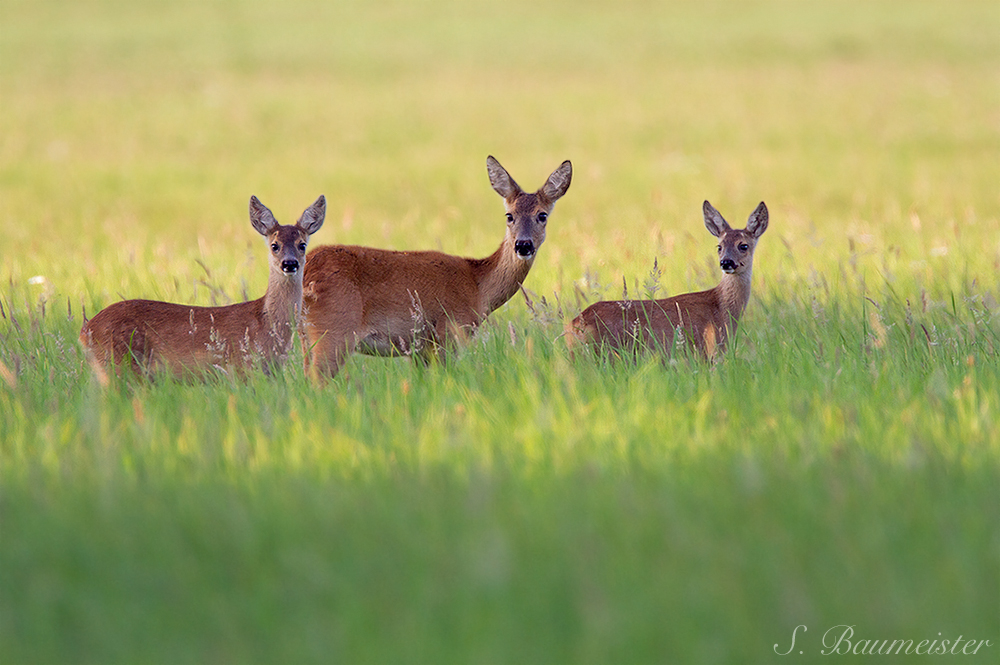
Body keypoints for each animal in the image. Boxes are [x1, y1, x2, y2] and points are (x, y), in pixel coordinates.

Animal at [79, 195, 326, 381]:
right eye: (275, 245)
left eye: (302, 244)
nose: (289, 264)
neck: (266, 324)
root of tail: (85, 331)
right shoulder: (240, 369)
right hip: (119, 367)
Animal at [301, 155, 572, 380]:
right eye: (509, 216)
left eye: (542, 215)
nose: (523, 245)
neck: (478, 286)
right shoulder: (450, 331)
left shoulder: (419, 349)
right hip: (335, 329)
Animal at [565, 200, 768, 360]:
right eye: (719, 246)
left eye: (743, 245)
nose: (726, 262)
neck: (721, 308)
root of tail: (573, 325)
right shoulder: (706, 349)